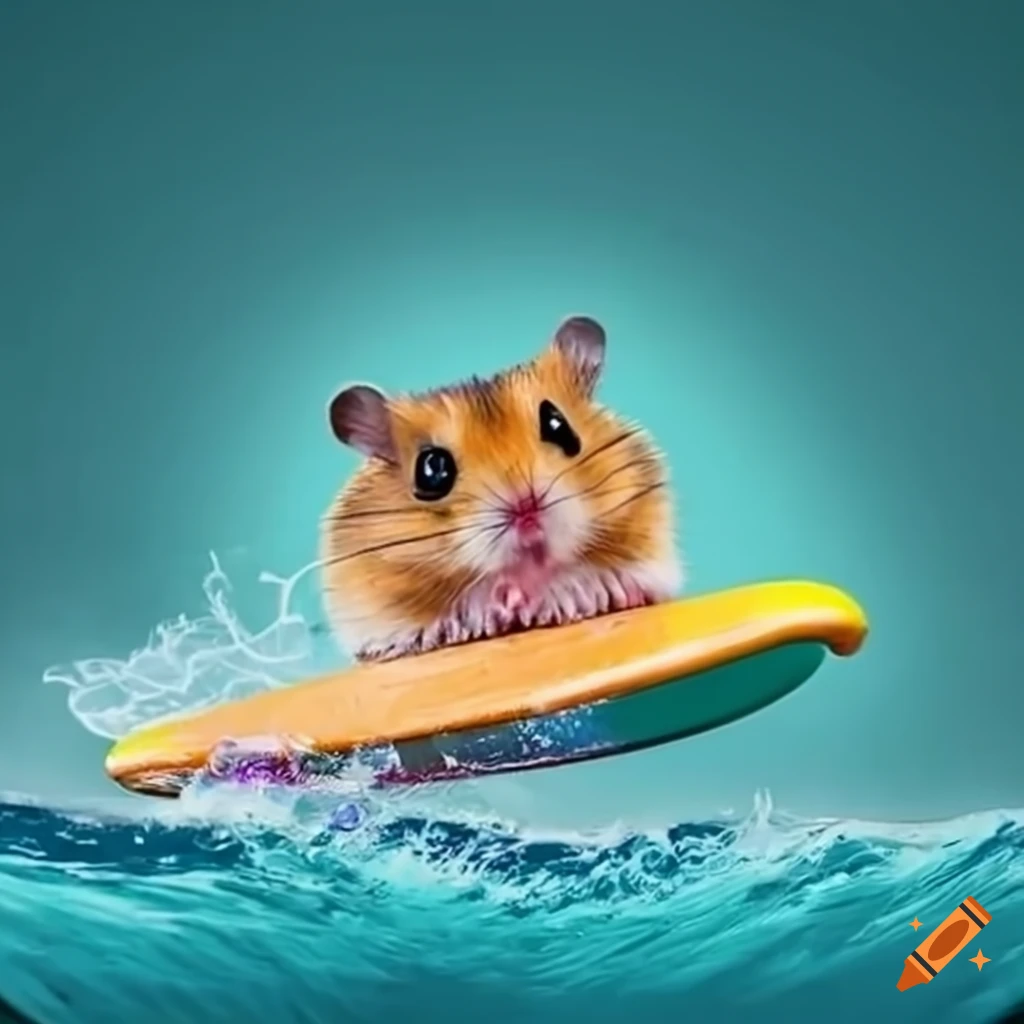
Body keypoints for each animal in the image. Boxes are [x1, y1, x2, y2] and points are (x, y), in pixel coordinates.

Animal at [320, 315, 683, 662]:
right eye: (432, 470)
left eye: (559, 426)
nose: (527, 508)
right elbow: (468, 600)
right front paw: (504, 602)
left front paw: (570, 595)